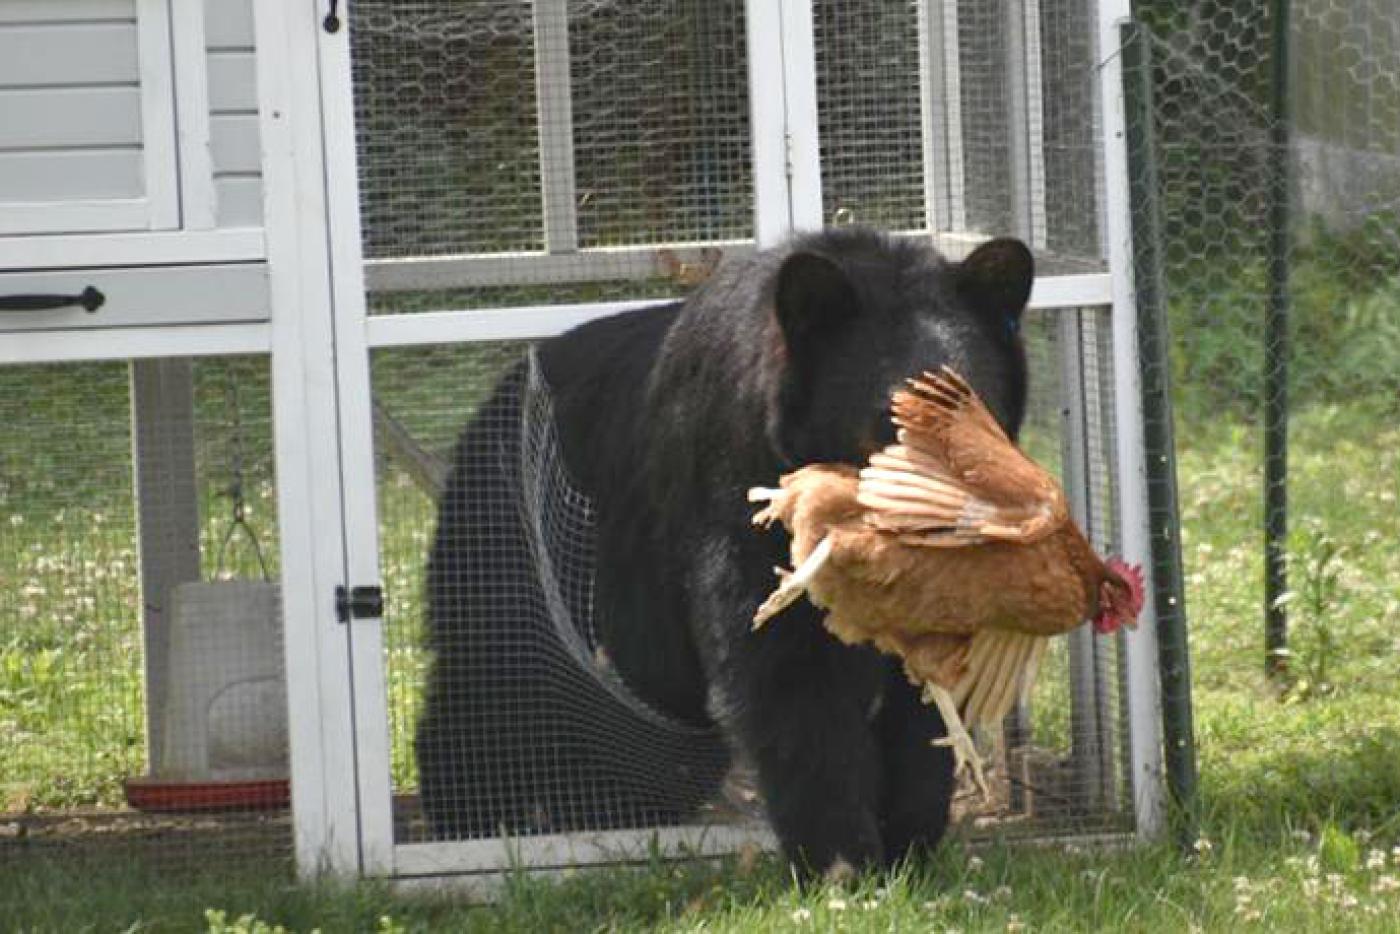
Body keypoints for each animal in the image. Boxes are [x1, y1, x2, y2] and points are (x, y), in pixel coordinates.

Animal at [416, 226, 1033, 875]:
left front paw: (908, 840)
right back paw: (473, 818)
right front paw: (841, 854)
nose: (955, 519)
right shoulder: (739, 493)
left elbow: (929, 692)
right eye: (892, 419)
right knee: (498, 669)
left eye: (976, 410)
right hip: (515, 533)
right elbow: (786, 670)